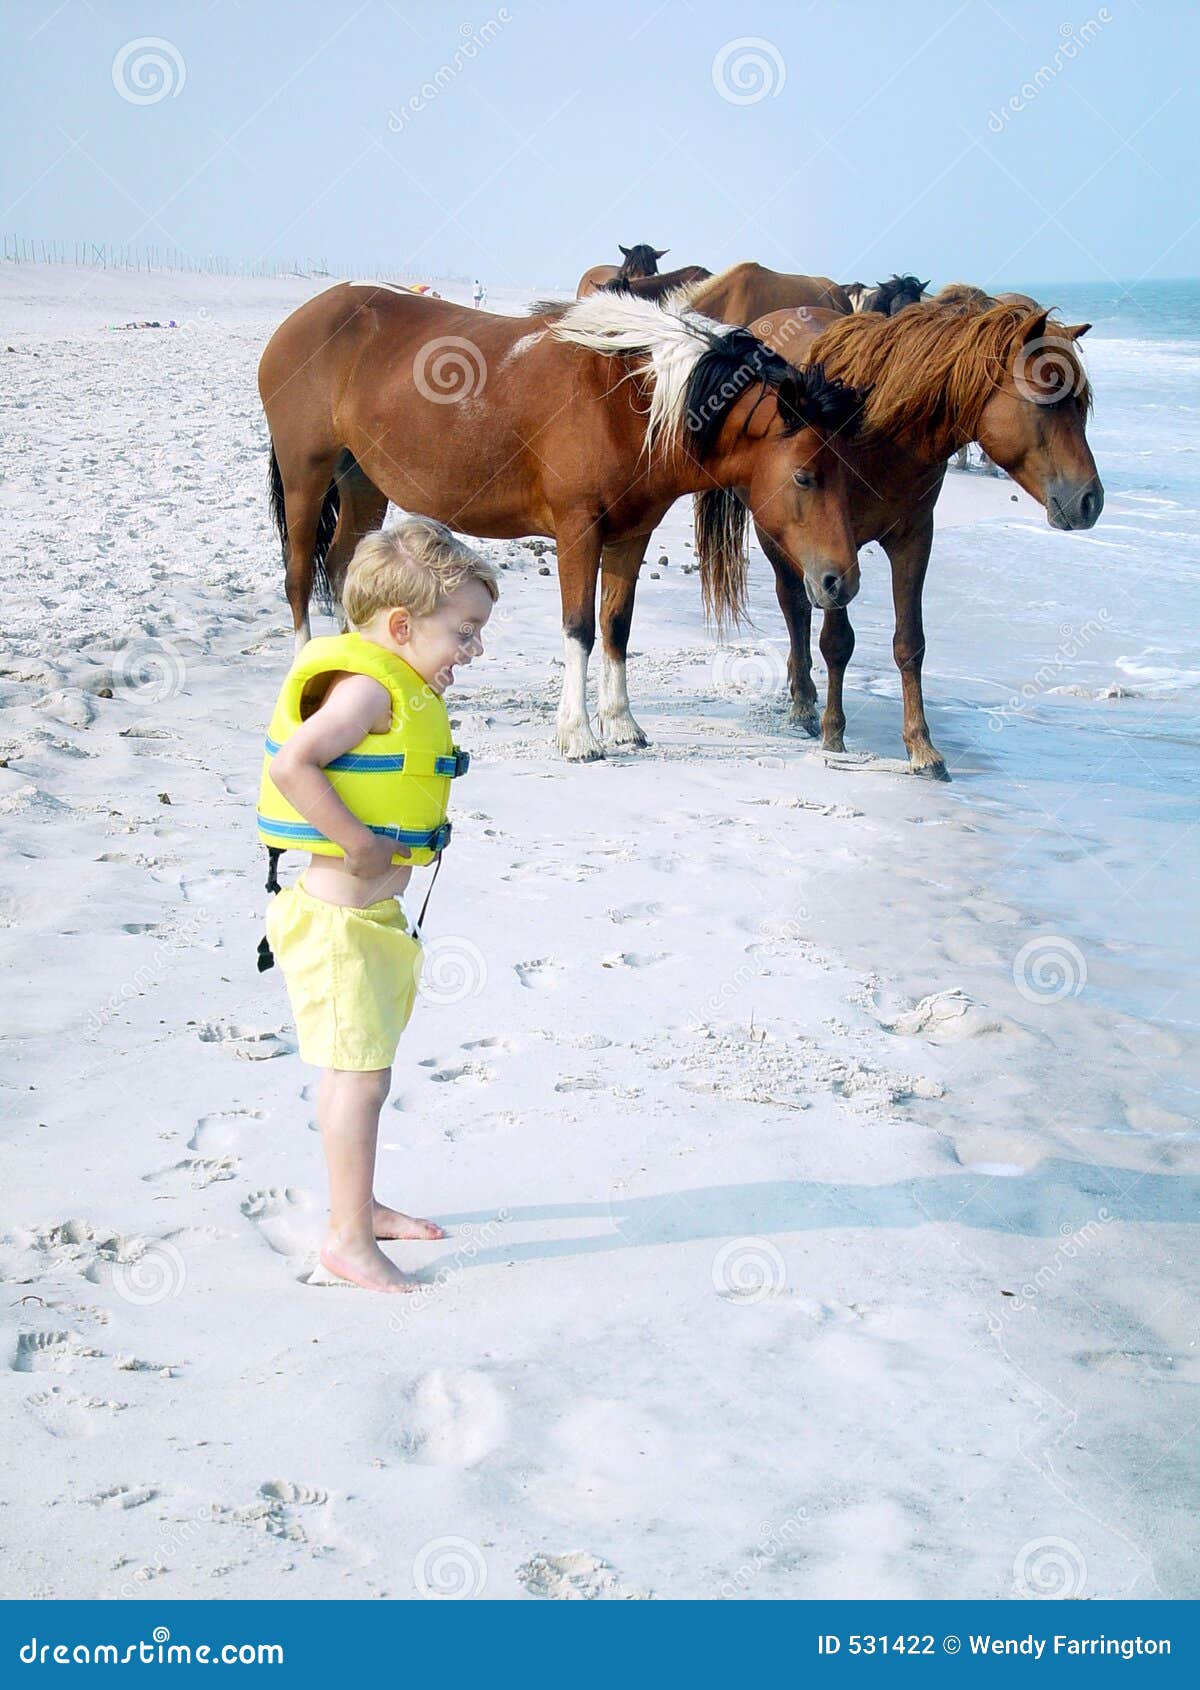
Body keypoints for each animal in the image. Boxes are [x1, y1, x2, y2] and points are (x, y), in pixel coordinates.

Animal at [258, 284, 867, 761]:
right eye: (805, 477)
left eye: (848, 474)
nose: (840, 581)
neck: (627, 401)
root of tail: (300, 320)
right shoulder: (579, 532)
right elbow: (580, 628)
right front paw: (578, 734)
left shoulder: (631, 535)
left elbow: (616, 625)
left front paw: (622, 724)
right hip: (307, 477)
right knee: (299, 576)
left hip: (362, 482)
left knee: (343, 568)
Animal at [733, 299, 1102, 777]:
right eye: (1047, 401)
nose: (1091, 501)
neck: (879, 432)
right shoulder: (833, 545)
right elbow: (837, 642)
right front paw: (835, 733)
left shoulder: (913, 540)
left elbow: (910, 643)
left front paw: (922, 747)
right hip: (776, 534)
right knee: (793, 604)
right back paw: (803, 705)